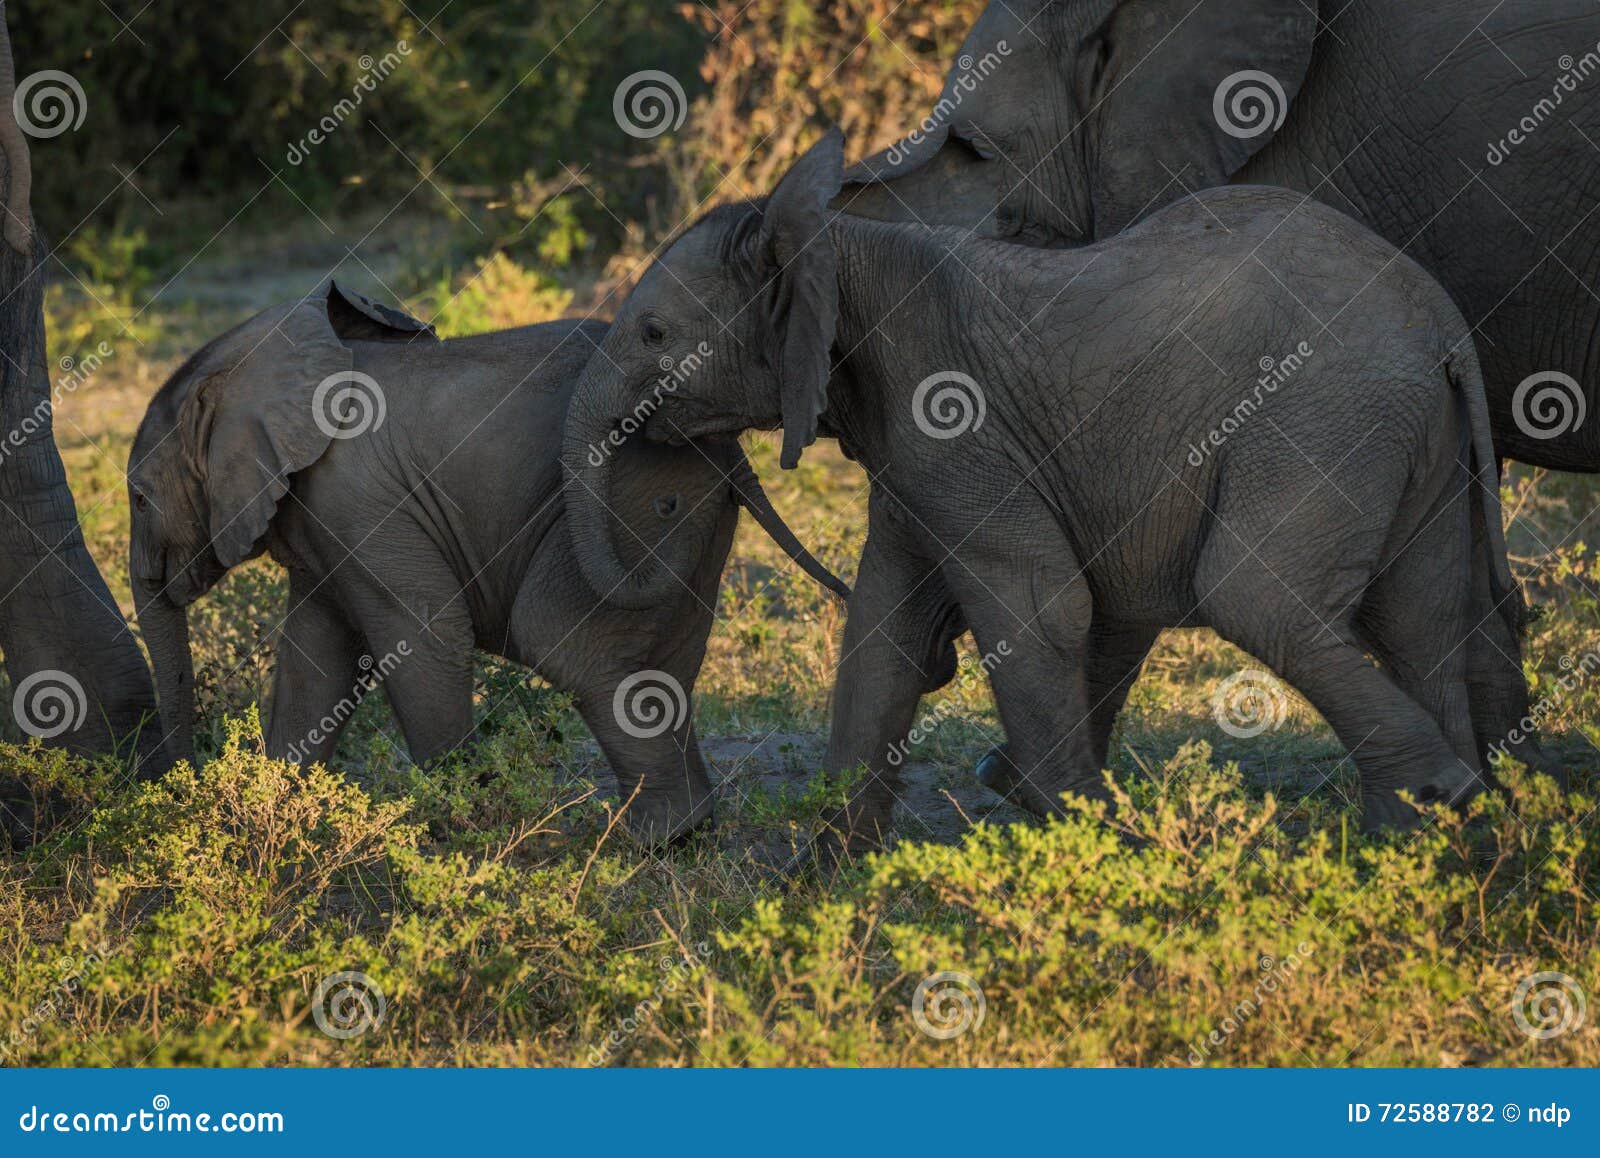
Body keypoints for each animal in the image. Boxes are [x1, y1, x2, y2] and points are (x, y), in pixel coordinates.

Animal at [128, 281, 846, 841]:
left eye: (136, 498)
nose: (180, 787)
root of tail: (728, 447)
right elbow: (315, 659)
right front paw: (266, 816)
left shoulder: (354, 499)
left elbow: (422, 634)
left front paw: (461, 829)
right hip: (682, 507)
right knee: (662, 662)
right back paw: (684, 835)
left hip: (631, 493)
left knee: (567, 643)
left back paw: (648, 841)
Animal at [560, 131, 1545, 842]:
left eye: (652, 334)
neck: (839, 244)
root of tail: (1439, 321)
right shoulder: (915, 449)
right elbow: (882, 622)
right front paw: (823, 882)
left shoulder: (948, 418)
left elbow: (1041, 610)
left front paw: (1083, 841)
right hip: (1411, 435)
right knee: (1423, 619)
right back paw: (1428, 852)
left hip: (1323, 416)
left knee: (1256, 595)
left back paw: (1436, 802)